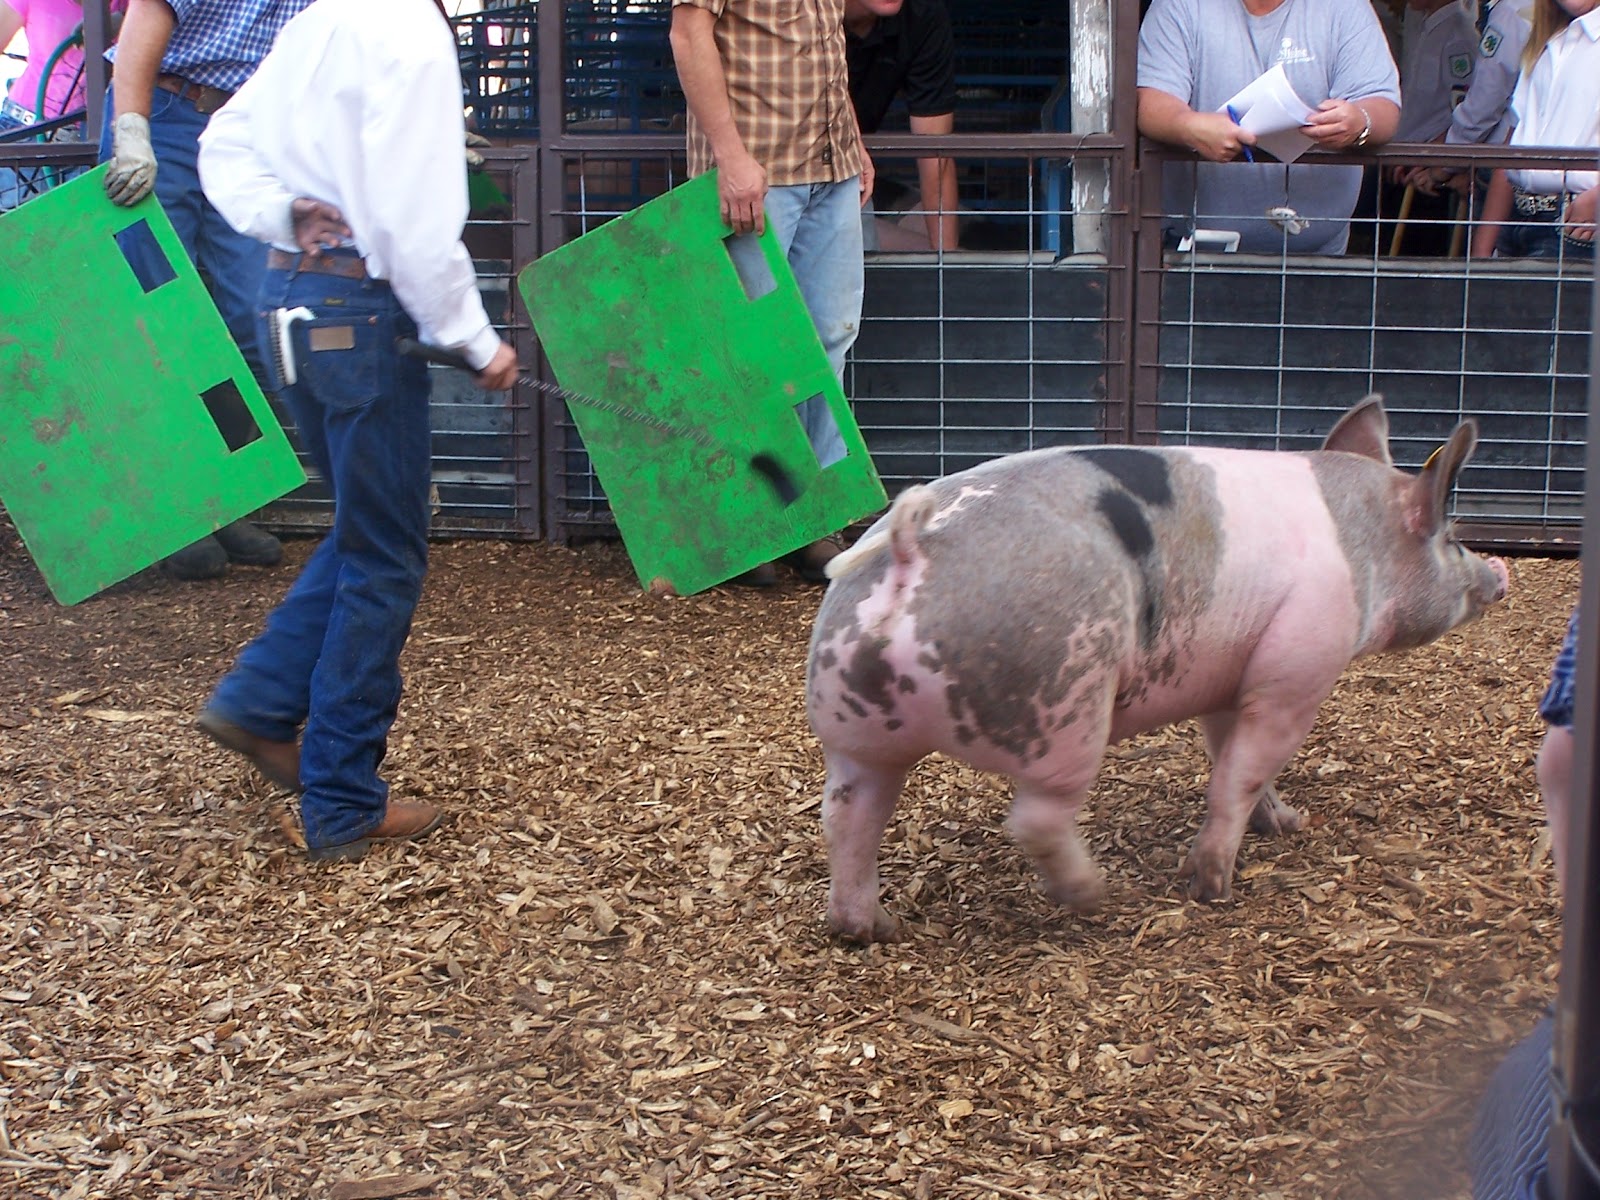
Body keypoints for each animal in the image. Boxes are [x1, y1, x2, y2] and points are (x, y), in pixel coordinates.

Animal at [806, 396, 1509, 943]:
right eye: (1452, 537)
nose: (1499, 574)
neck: (1362, 545)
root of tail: (909, 549)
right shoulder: (1300, 661)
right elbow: (1244, 769)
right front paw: (1212, 885)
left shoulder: (1231, 678)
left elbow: (1230, 755)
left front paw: (1286, 824)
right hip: (1061, 701)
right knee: (1035, 819)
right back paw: (1099, 896)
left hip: (851, 720)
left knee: (847, 816)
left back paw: (875, 929)